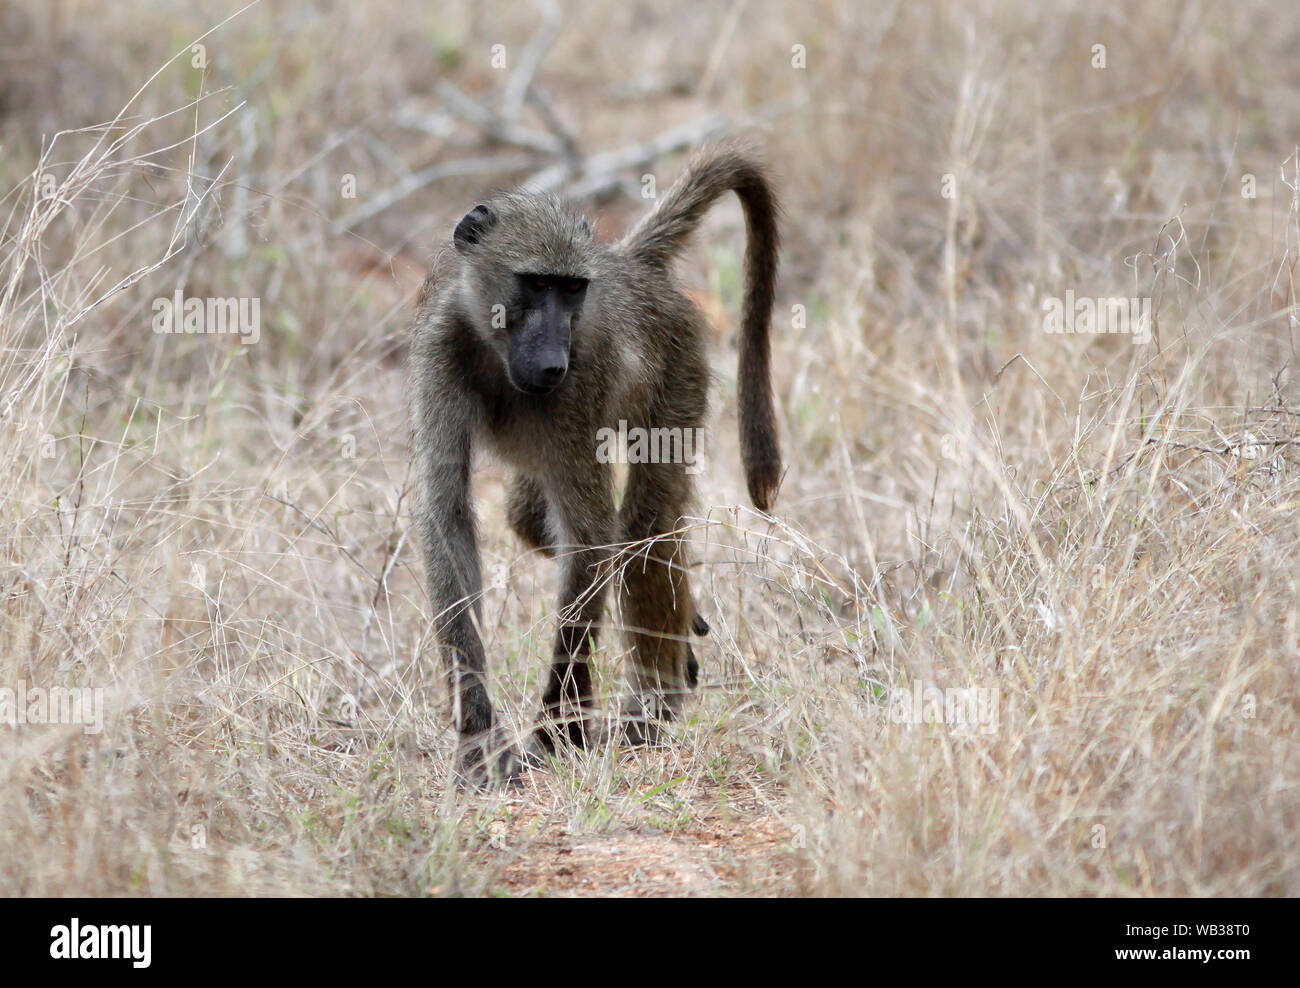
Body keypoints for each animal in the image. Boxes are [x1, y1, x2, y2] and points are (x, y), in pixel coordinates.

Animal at [408, 141, 780, 788]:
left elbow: (589, 539)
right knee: (533, 516)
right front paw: (479, 740)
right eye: (536, 284)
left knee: (641, 527)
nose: (553, 361)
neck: (497, 355)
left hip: (680, 371)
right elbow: (448, 517)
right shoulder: (443, 350)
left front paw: (558, 731)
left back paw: (649, 712)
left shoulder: (580, 389)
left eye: (573, 291)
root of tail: (632, 266)